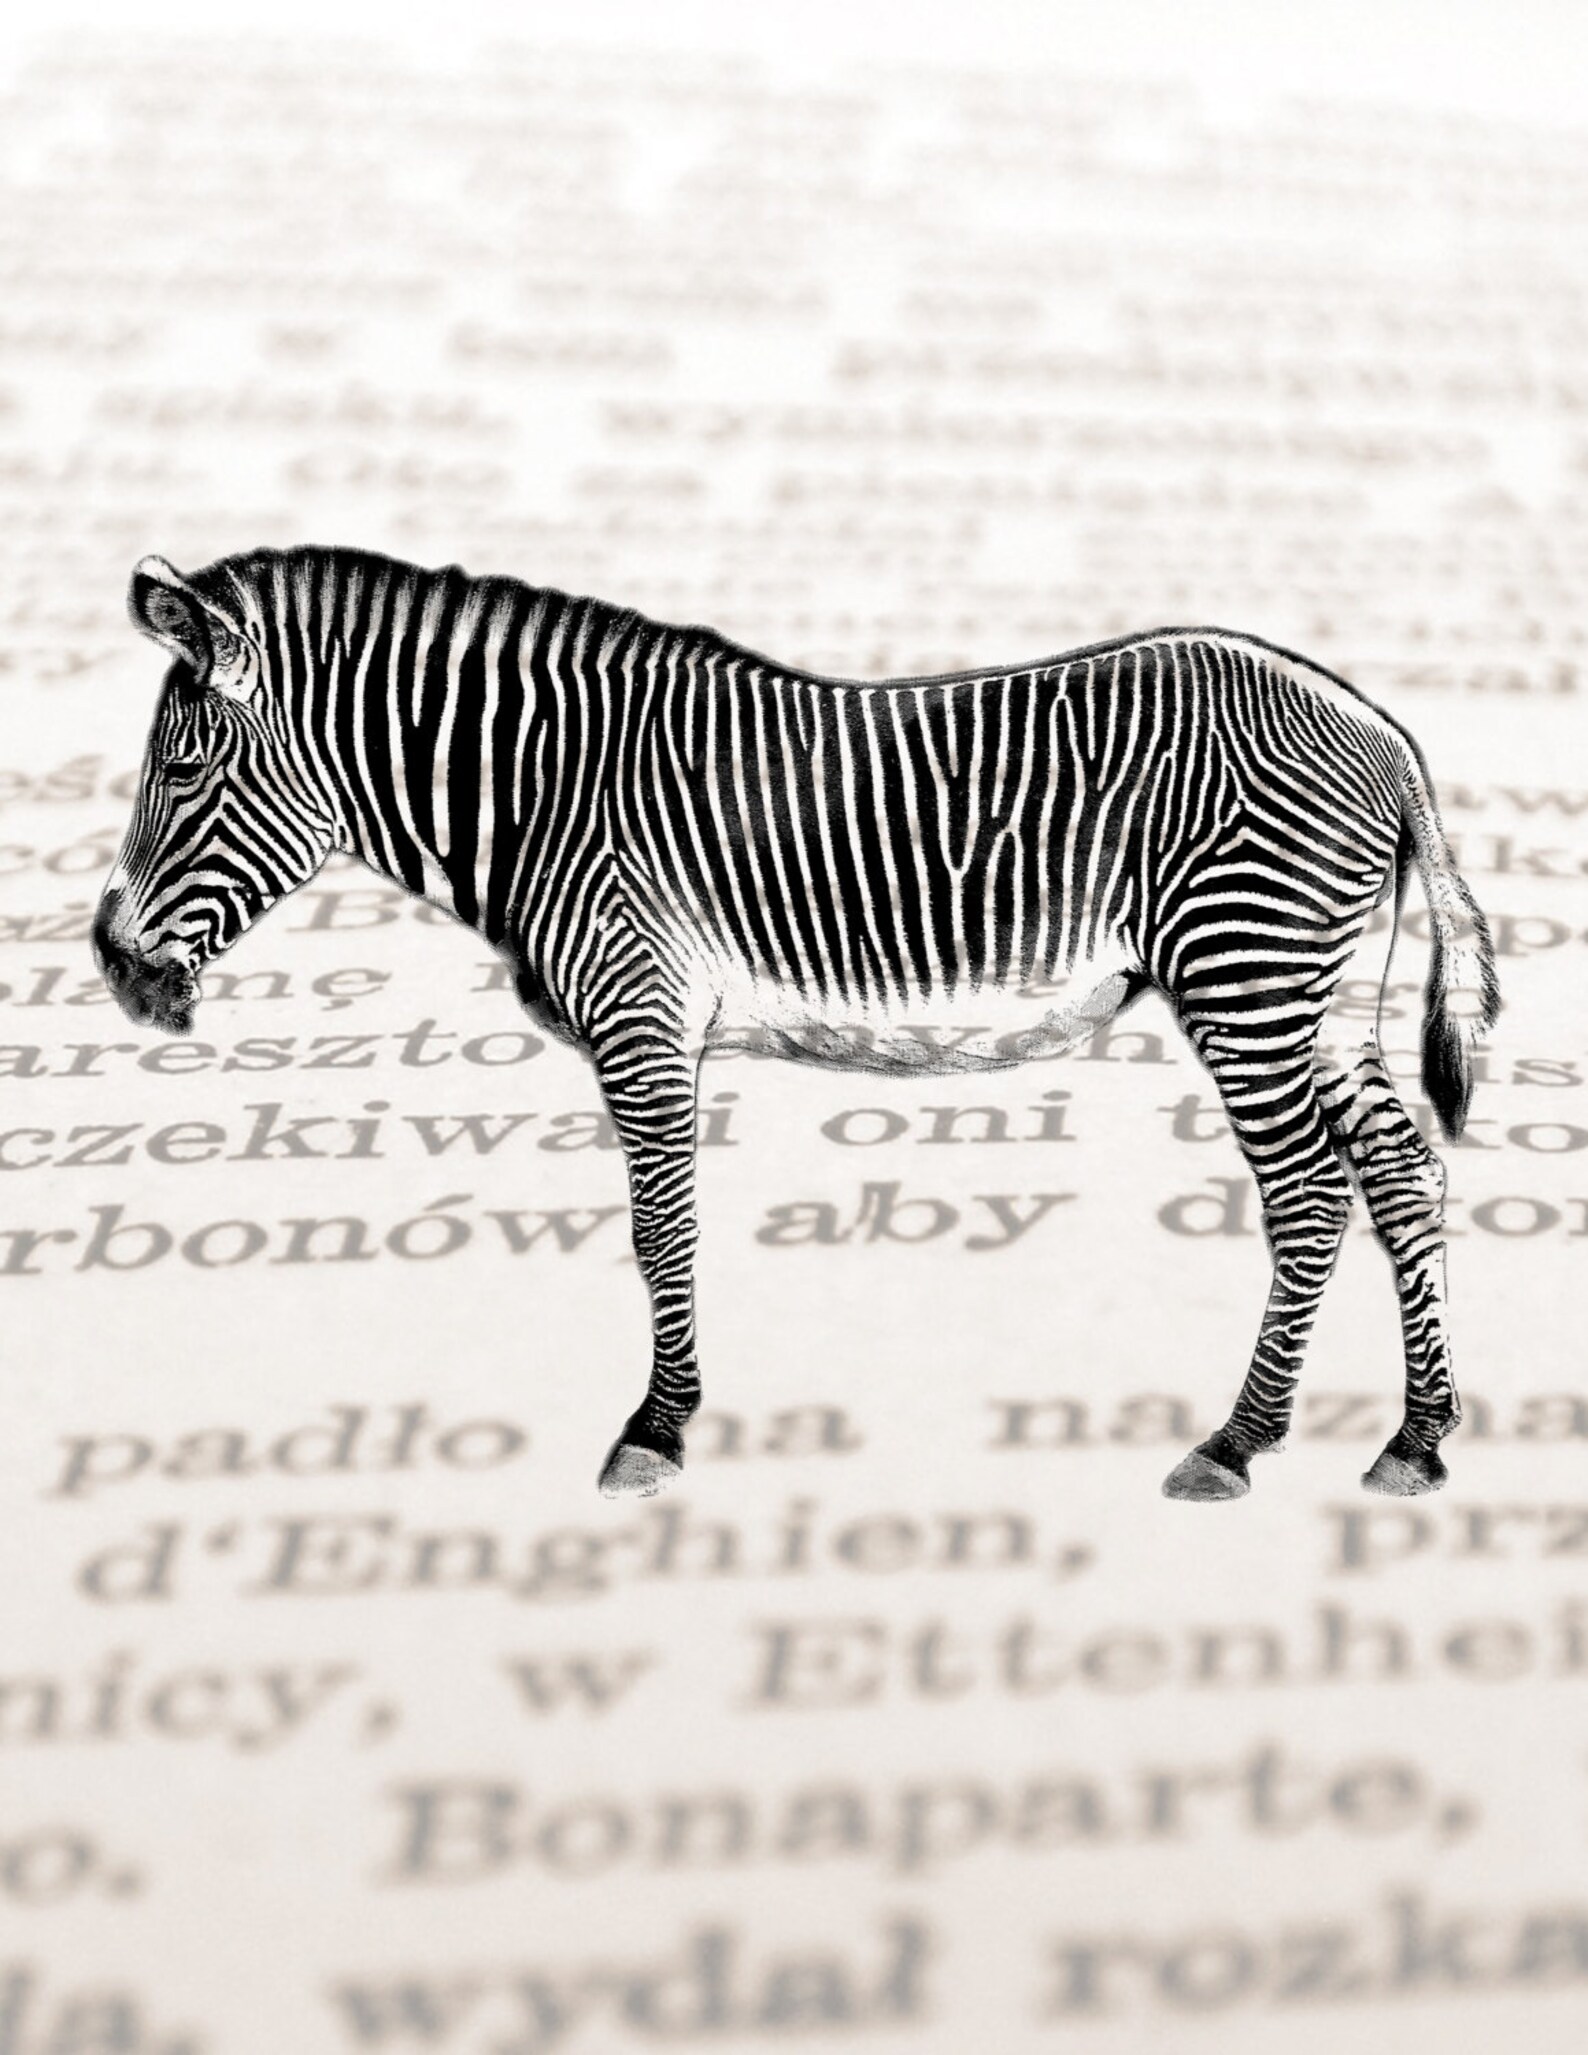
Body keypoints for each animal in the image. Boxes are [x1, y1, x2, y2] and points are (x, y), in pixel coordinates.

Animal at [94, 547, 1499, 1505]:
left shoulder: (642, 1014)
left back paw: (1236, 1442)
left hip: (1245, 972)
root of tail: (1380, 731)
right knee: (1401, 1171)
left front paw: (656, 1430)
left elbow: (659, 1230)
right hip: (1324, 996)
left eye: (178, 769)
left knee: (1309, 1192)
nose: (111, 968)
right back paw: (1414, 1439)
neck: (547, 793)